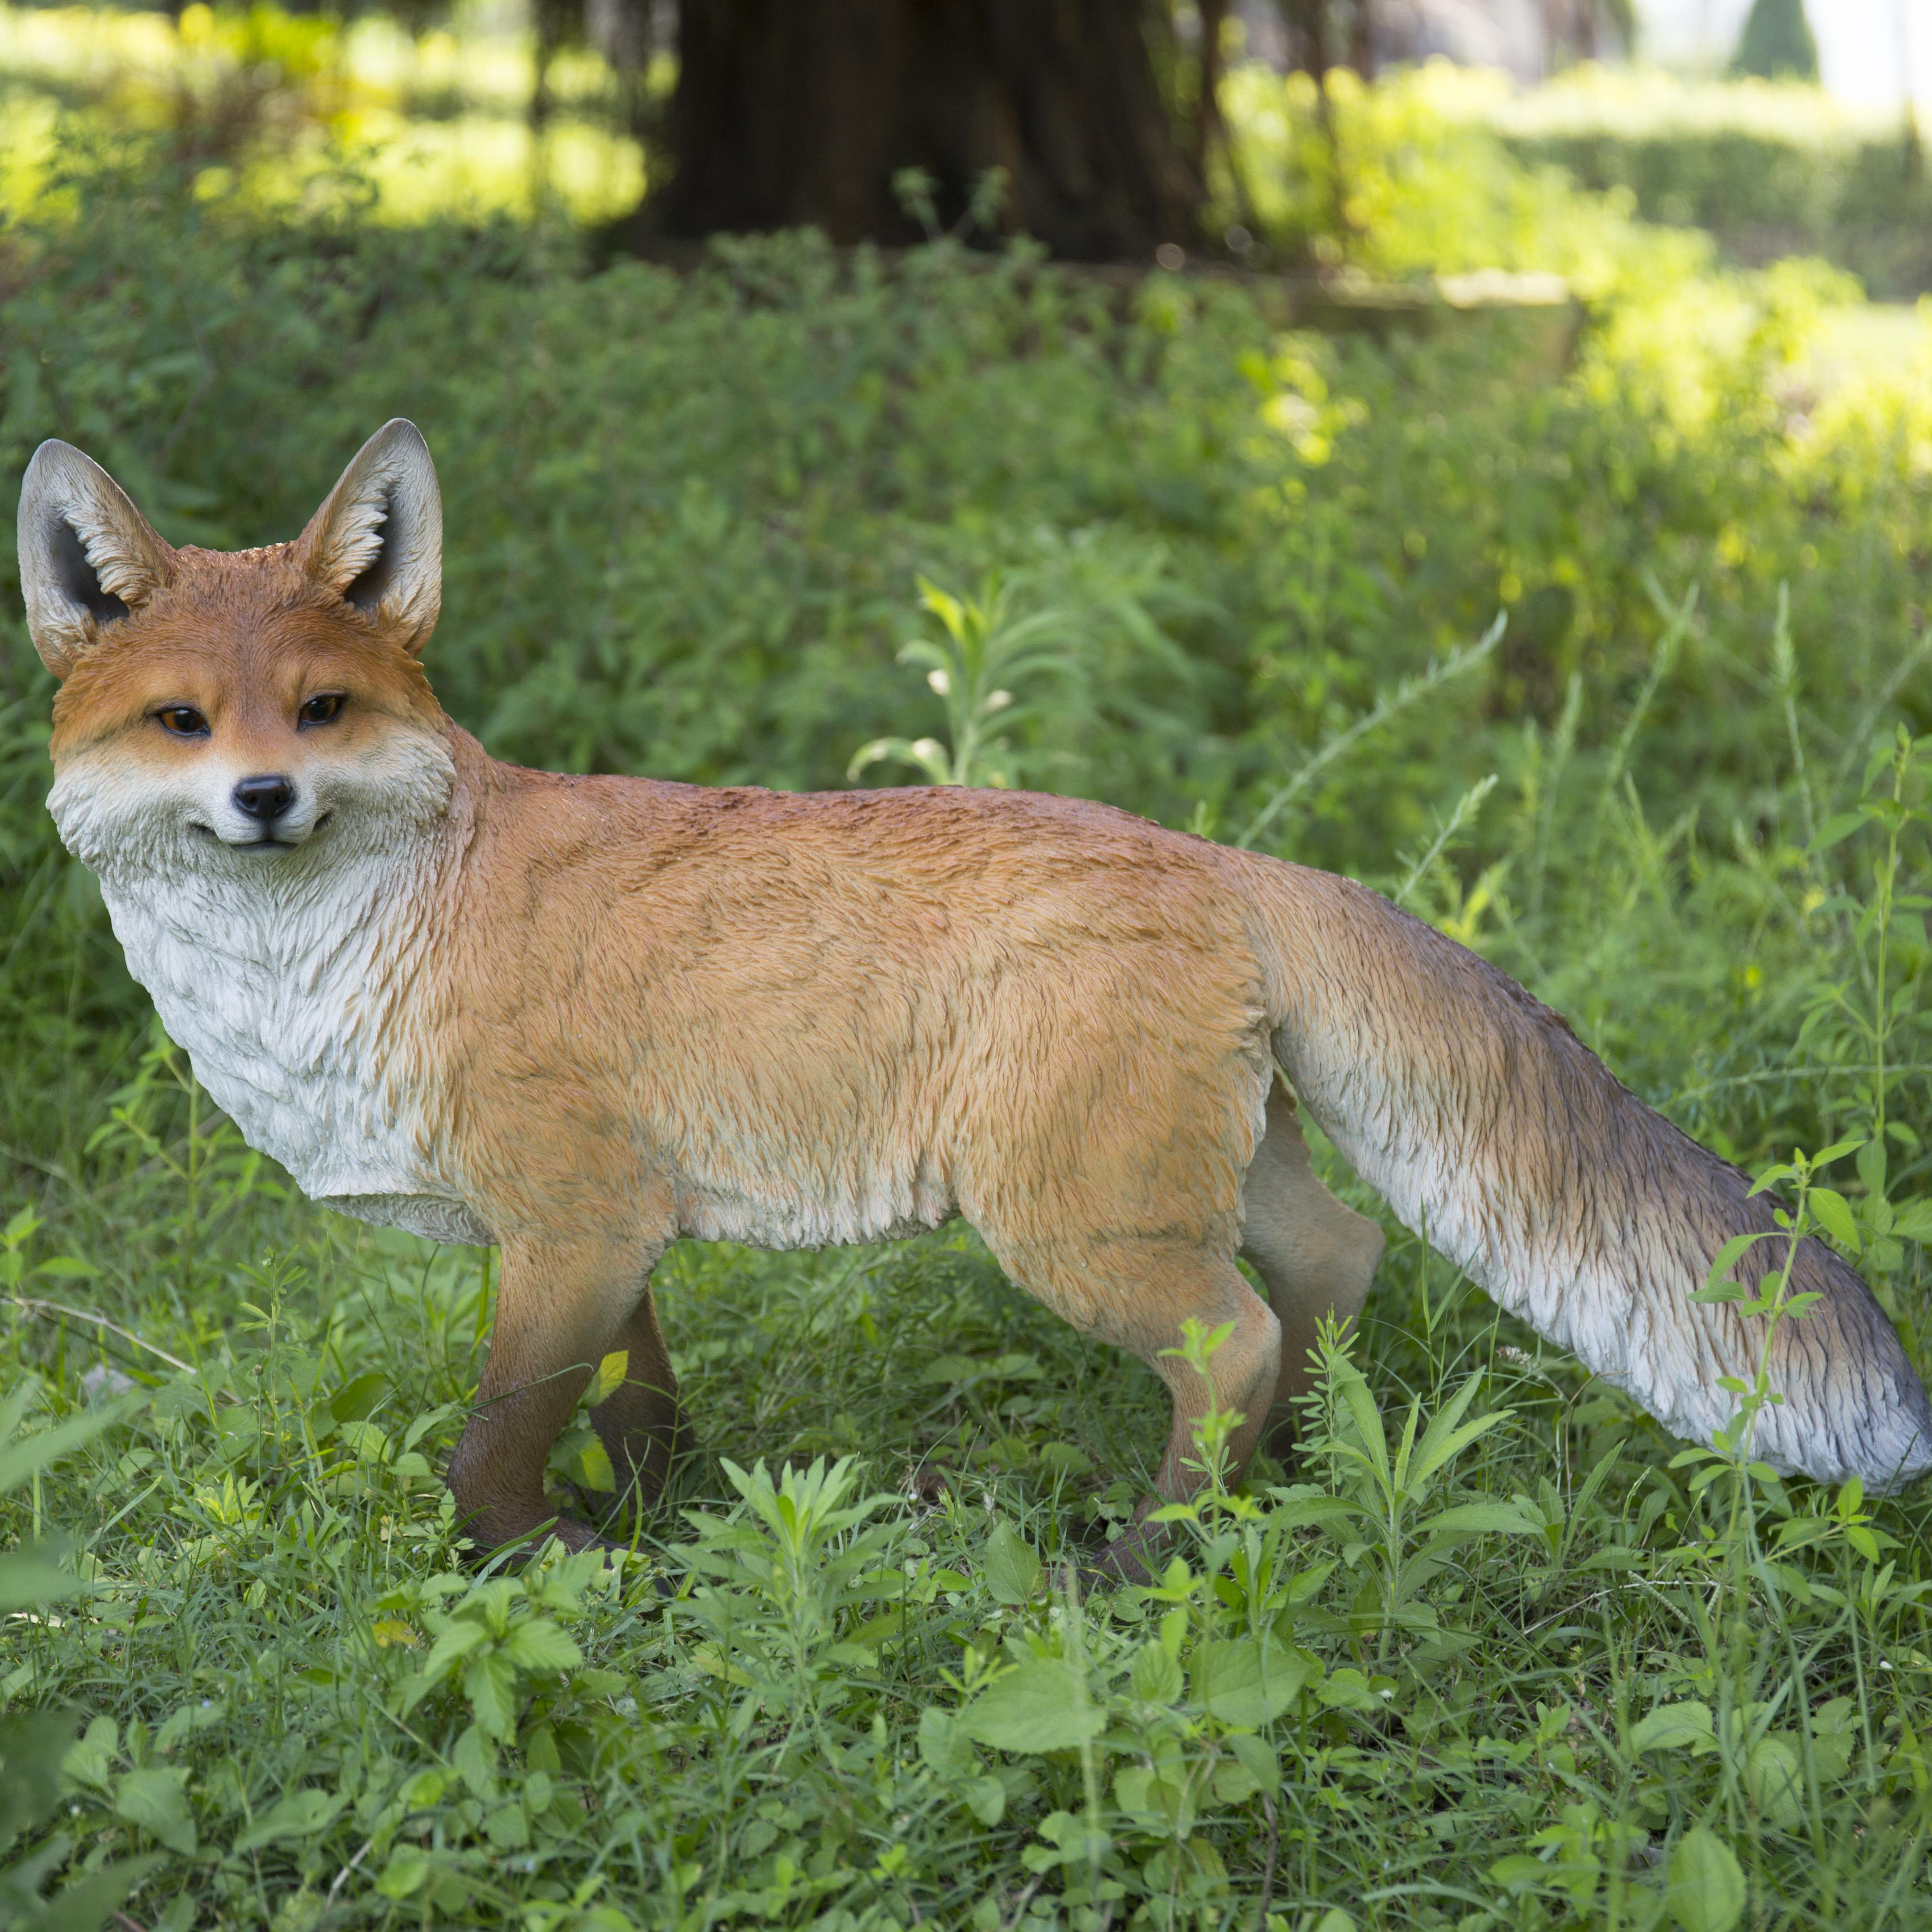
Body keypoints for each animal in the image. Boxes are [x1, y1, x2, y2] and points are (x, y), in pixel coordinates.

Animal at [18, 419, 1932, 1576]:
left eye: (323, 710)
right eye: (184, 723)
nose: (266, 797)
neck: (353, 963)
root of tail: (1209, 852)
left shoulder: (565, 1222)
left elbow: (488, 1451)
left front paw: (544, 1568)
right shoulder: (609, 1232)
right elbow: (640, 1407)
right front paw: (668, 1531)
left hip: (1071, 1221)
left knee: (1232, 1339)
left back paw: (1147, 1559)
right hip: (1201, 1173)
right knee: (1333, 1263)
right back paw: (1302, 1481)